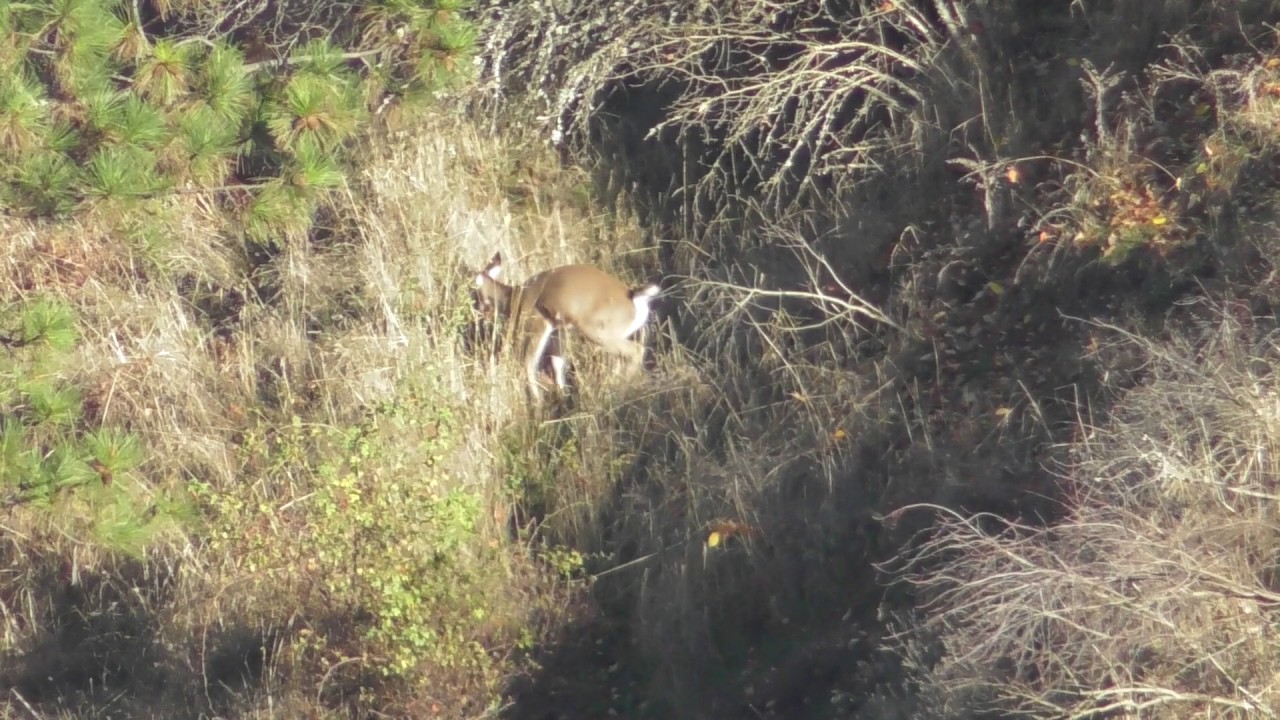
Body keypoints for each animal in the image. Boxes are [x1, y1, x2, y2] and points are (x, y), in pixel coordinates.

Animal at [472, 252, 660, 399]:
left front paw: (537, 401)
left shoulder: (539, 324)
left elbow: (529, 362)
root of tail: (633, 294)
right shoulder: (558, 329)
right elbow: (557, 362)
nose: (478, 309)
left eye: (474, 291)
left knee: (635, 351)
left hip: (598, 333)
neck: (516, 296)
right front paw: (562, 394)